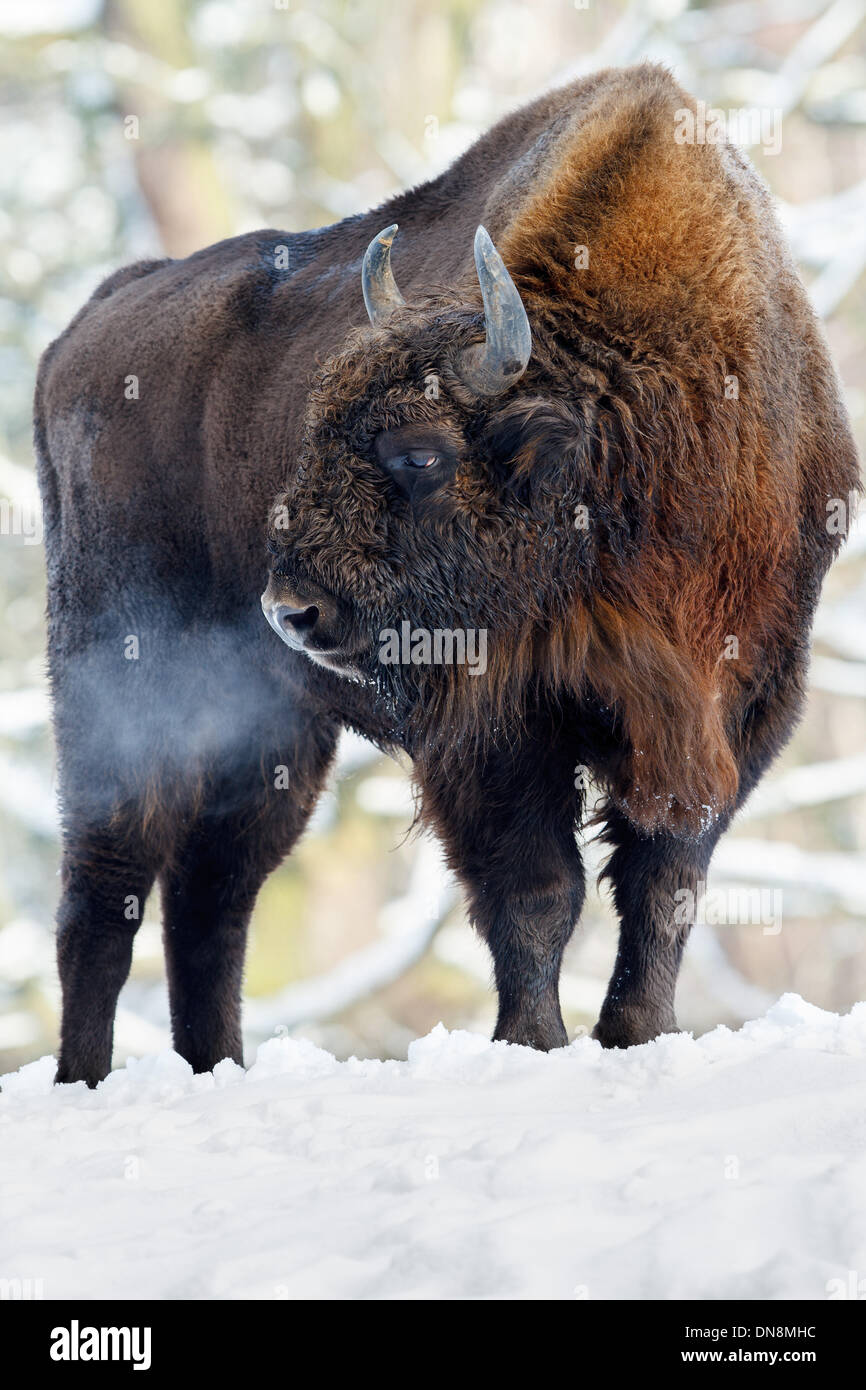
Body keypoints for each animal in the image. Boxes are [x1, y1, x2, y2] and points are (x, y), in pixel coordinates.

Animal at [35, 65, 859, 1085]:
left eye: (420, 454)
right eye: (314, 431)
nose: (292, 610)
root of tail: (90, 325)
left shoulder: (733, 707)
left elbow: (664, 880)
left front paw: (636, 1033)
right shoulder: (494, 732)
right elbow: (539, 890)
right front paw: (534, 1042)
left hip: (273, 726)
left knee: (212, 893)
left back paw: (215, 1069)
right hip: (119, 685)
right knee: (105, 886)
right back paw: (86, 1079)